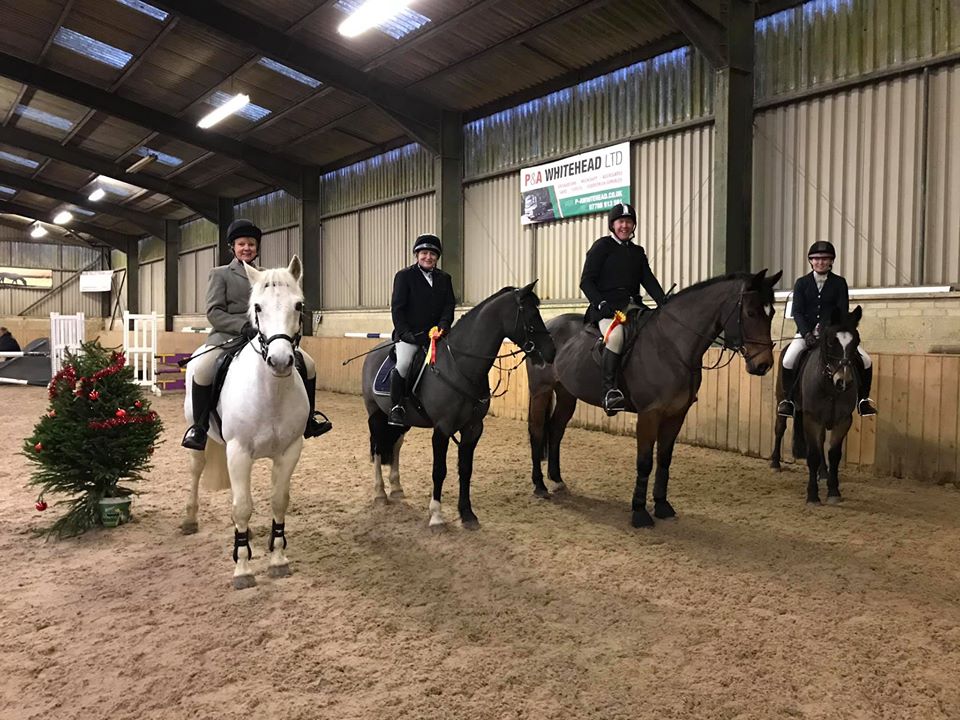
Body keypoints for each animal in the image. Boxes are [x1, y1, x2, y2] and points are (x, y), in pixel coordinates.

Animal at [181, 256, 310, 589]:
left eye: (298, 305)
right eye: (258, 307)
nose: (280, 361)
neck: (271, 392)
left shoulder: (289, 451)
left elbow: (278, 501)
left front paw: (278, 559)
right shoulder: (239, 452)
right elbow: (242, 506)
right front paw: (242, 569)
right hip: (200, 441)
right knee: (195, 471)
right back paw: (189, 520)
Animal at [362, 281, 556, 530]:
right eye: (531, 315)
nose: (551, 351)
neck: (460, 366)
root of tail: (372, 354)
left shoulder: (473, 427)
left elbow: (465, 469)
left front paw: (467, 514)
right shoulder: (442, 429)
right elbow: (439, 470)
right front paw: (436, 515)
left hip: (401, 421)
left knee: (395, 446)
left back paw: (396, 489)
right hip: (375, 413)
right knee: (378, 448)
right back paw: (380, 494)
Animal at [526, 270, 782, 528]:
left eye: (771, 313)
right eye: (750, 313)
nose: (763, 365)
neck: (672, 347)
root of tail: (547, 326)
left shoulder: (676, 414)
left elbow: (664, 459)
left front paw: (661, 505)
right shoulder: (649, 414)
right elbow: (645, 461)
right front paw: (639, 512)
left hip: (567, 394)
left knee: (556, 430)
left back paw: (557, 480)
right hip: (541, 391)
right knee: (537, 430)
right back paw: (540, 485)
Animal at [770, 306, 862, 505]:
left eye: (856, 342)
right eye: (830, 342)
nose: (843, 381)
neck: (830, 388)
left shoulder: (843, 421)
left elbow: (834, 454)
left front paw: (833, 491)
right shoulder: (812, 419)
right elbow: (812, 455)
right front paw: (812, 495)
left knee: (820, 443)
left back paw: (823, 472)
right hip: (782, 402)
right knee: (780, 429)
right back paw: (775, 463)